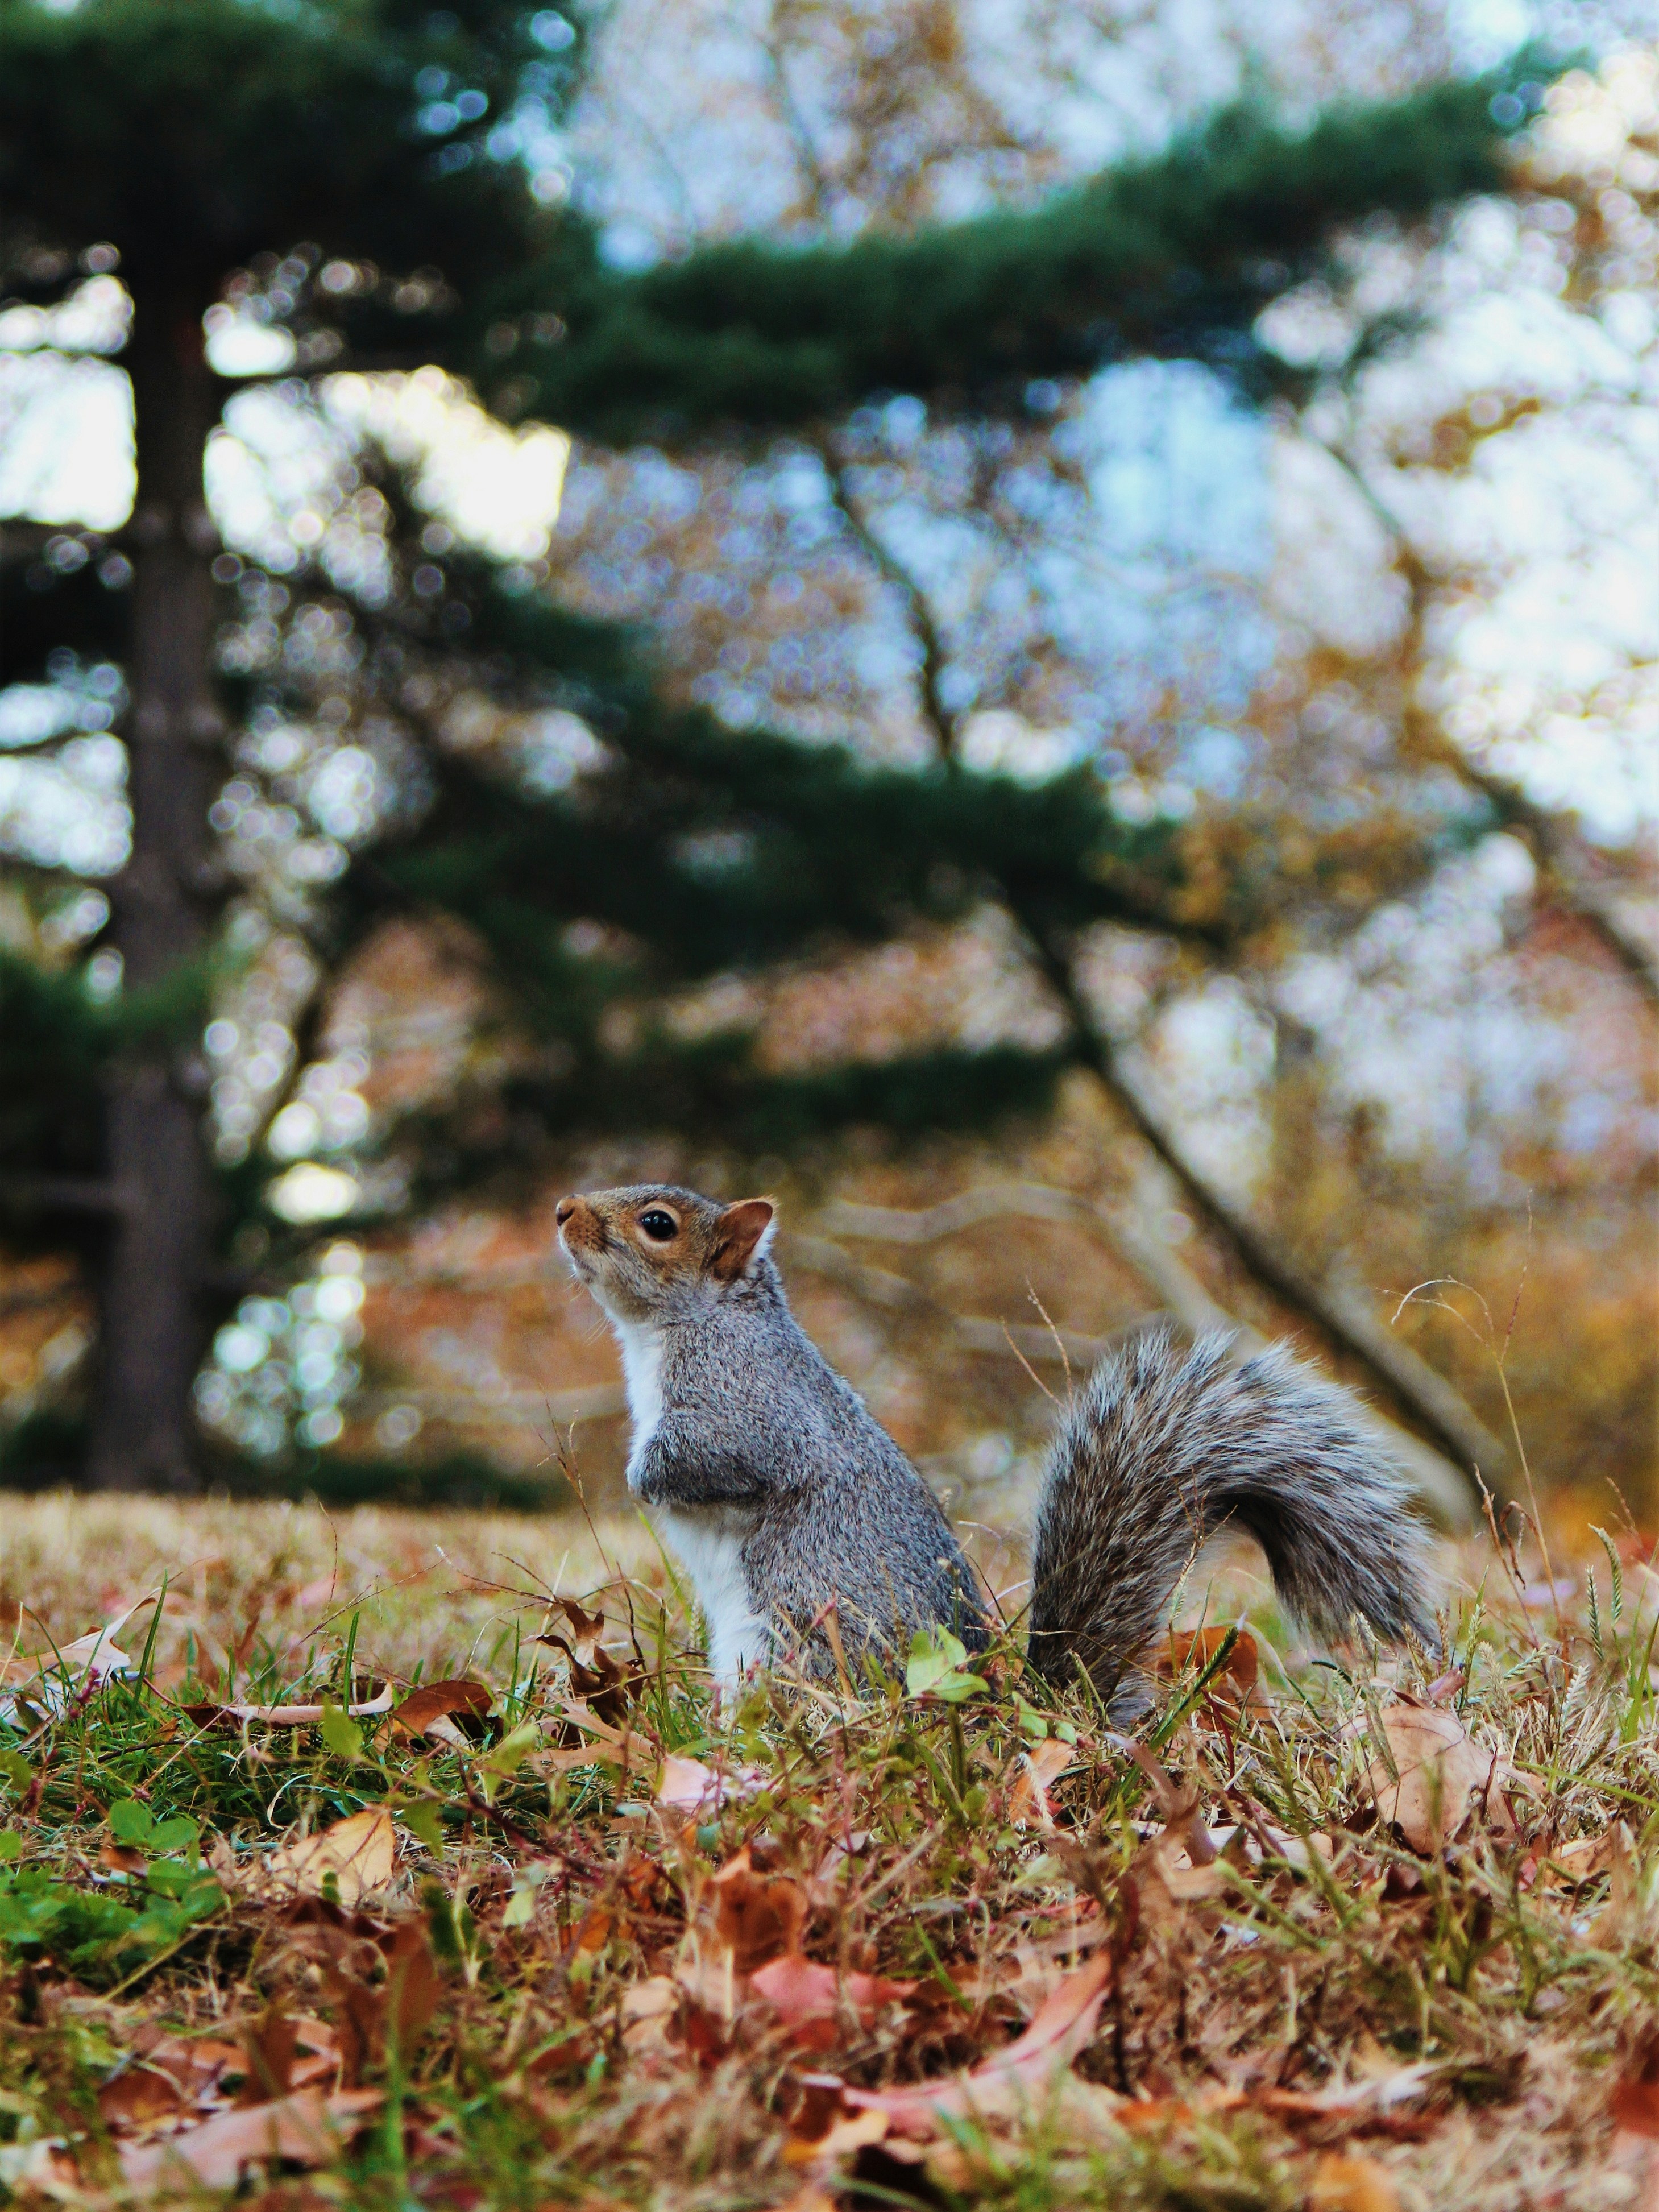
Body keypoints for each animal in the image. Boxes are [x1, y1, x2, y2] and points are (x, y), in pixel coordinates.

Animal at [556, 1182, 1433, 1711]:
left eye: (658, 1224)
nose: (563, 1209)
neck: (672, 1330)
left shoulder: (744, 1403)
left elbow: (715, 1459)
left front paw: (638, 1476)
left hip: (792, 1646)